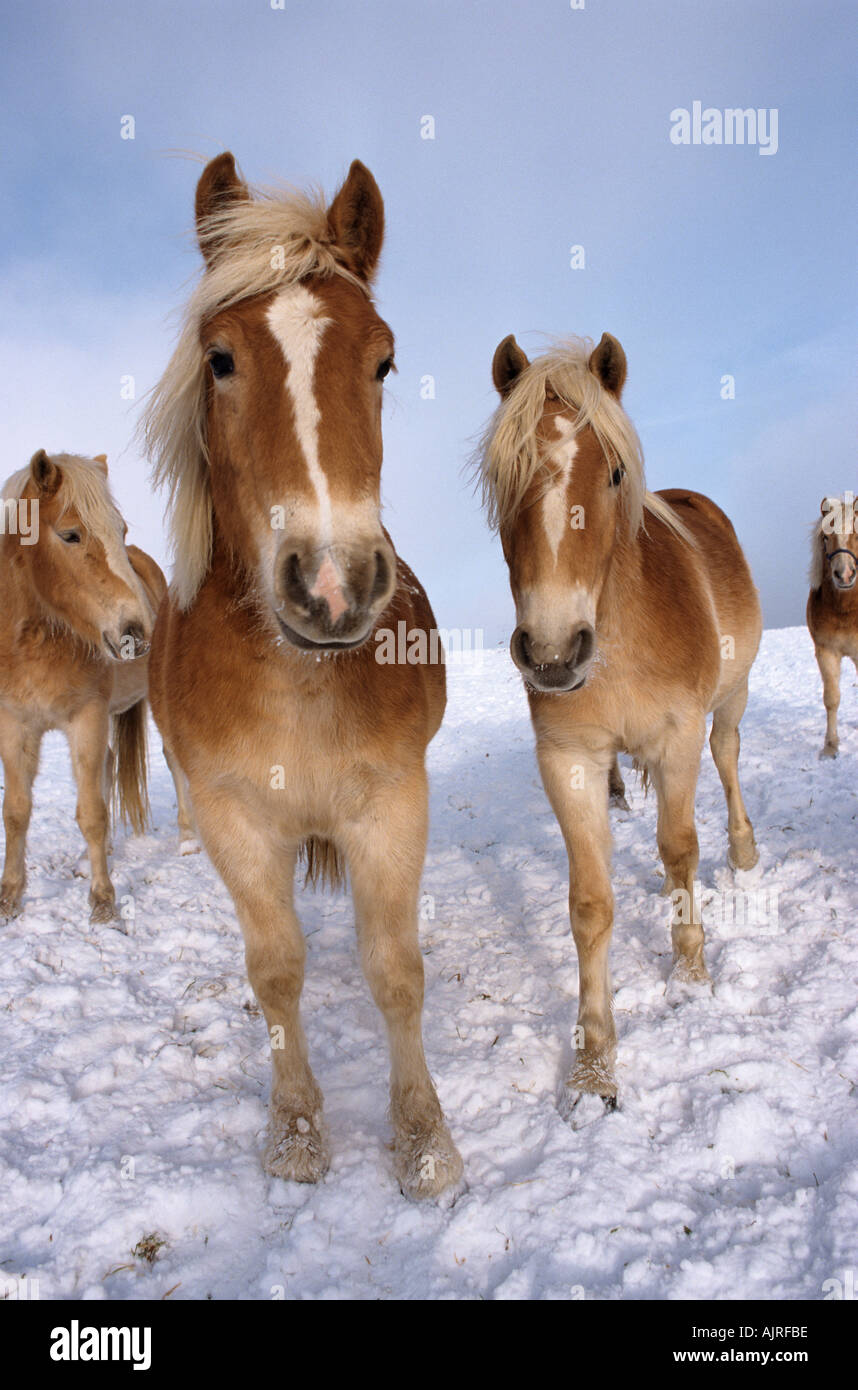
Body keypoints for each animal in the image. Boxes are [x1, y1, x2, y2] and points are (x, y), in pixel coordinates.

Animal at [0, 450, 187, 923]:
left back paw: (188, 841)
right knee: (108, 766)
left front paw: (103, 902)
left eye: (120, 531)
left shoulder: (86, 718)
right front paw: (10, 898)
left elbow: (92, 814)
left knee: (171, 760)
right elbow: (16, 812)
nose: (138, 633)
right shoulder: (14, 725)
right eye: (70, 535)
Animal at [142, 152, 462, 1198]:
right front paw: (294, 1133)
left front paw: (423, 1142)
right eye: (220, 359)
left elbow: (395, 970)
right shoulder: (234, 820)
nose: (332, 585)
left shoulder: (392, 803)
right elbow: (276, 971)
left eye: (384, 361)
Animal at [477, 332, 762, 1116]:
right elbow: (590, 906)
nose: (551, 652)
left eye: (612, 474)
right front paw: (594, 1066)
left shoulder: (676, 738)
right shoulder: (569, 757)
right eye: (504, 477)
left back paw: (744, 853)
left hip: (729, 702)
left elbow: (681, 848)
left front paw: (690, 974)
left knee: (728, 759)